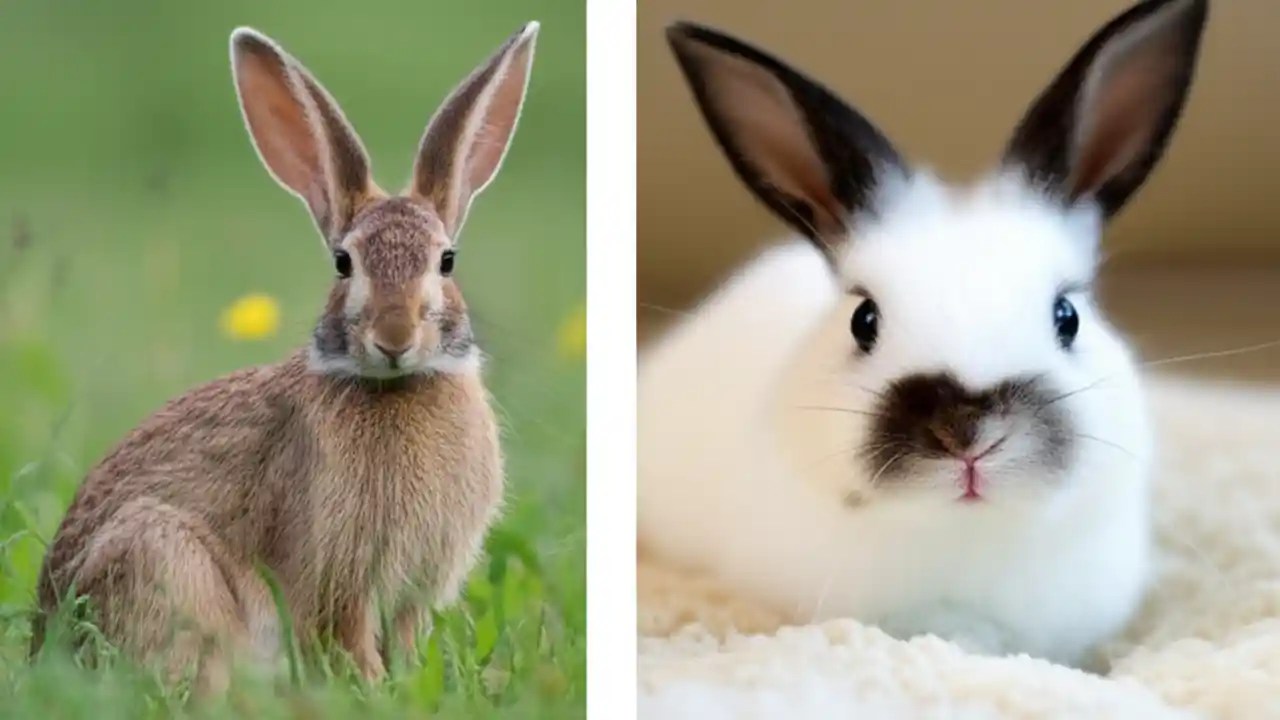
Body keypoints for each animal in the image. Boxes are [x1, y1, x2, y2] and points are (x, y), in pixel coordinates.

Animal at [30, 22, 539, 694]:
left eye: (446, 261)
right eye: (344, 263)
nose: (395, 336)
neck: (395, 387)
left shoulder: (410, 594)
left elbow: (404, 642)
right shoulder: (339, 580)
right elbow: (350, 639)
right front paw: (372, 690)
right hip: (160, 556)